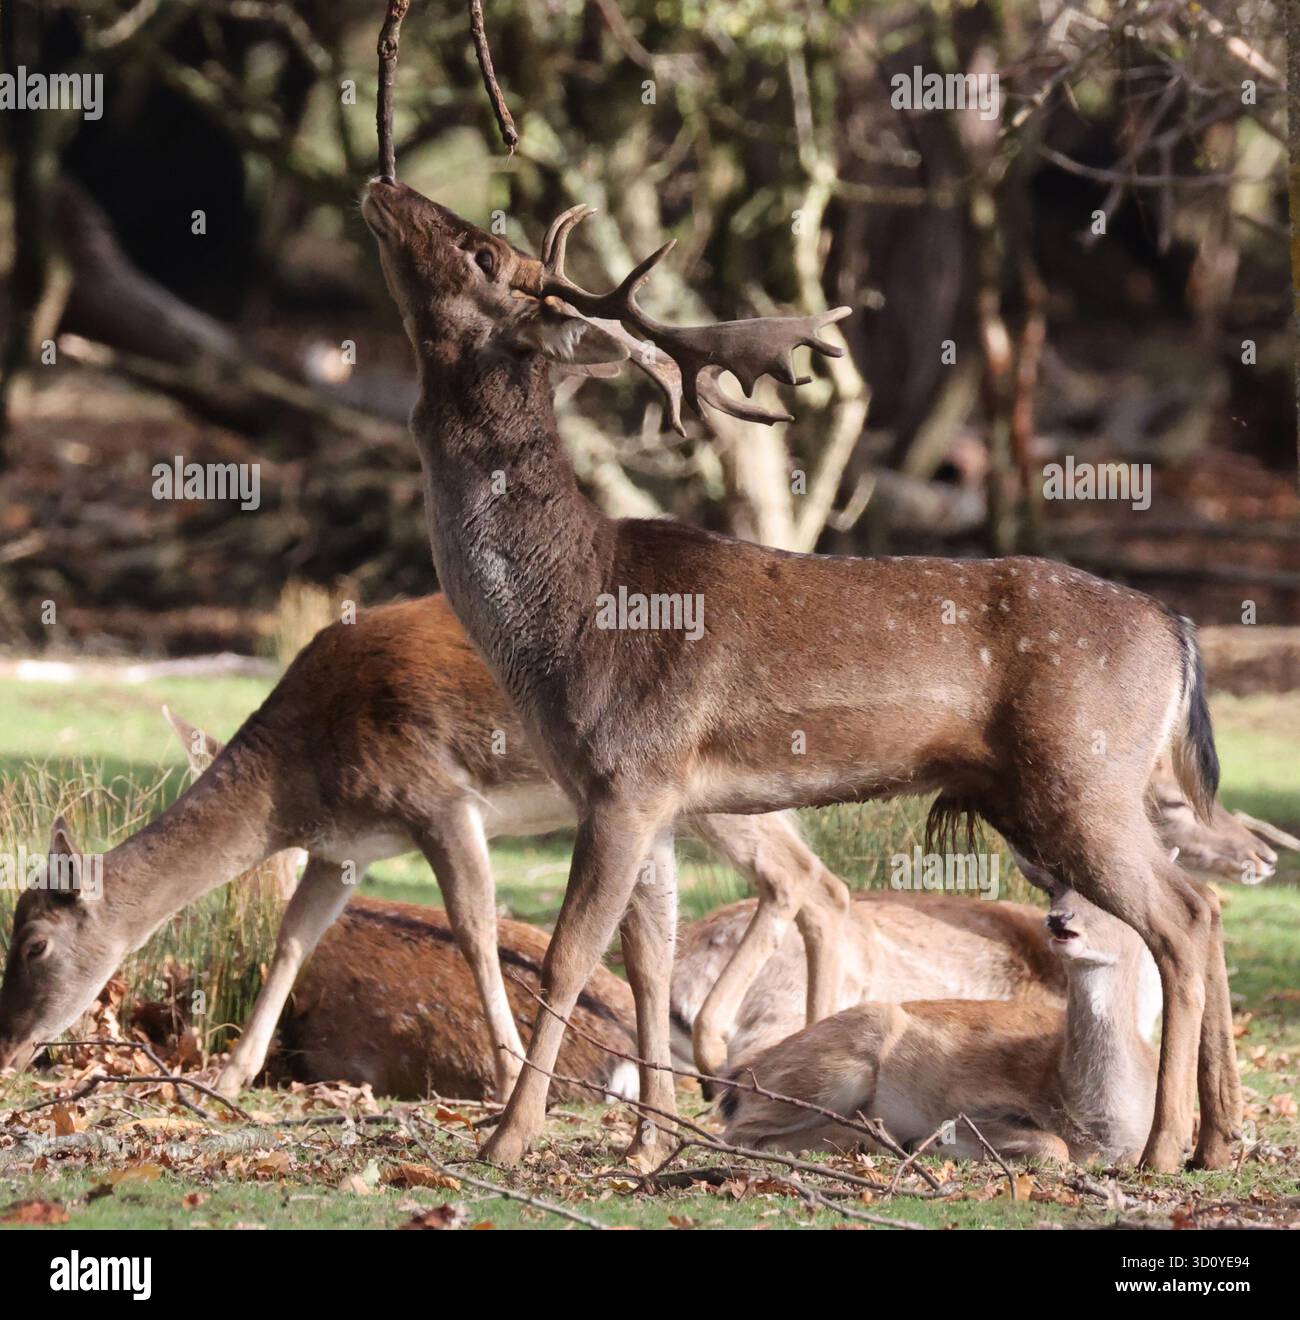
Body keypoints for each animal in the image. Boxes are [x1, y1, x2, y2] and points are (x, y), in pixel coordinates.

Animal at [0, 594, 850, 1099]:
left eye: (35, 943)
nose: (8, 1043)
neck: (298, 782)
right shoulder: (346, 846)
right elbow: (292, 940)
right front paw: (227, 1076)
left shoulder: (439, 799)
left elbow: (474, 929)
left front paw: (506, 1075)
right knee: (818, 881)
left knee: (793, 874)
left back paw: (718, 1044)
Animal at [720, 889, 1160, 1165]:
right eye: (1054, 890)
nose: (1057, 920)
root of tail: (743, 1077)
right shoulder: (970, 1103)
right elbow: (1052, 1145)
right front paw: (933, 1145)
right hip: (831, 1069)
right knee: (739, 1133)